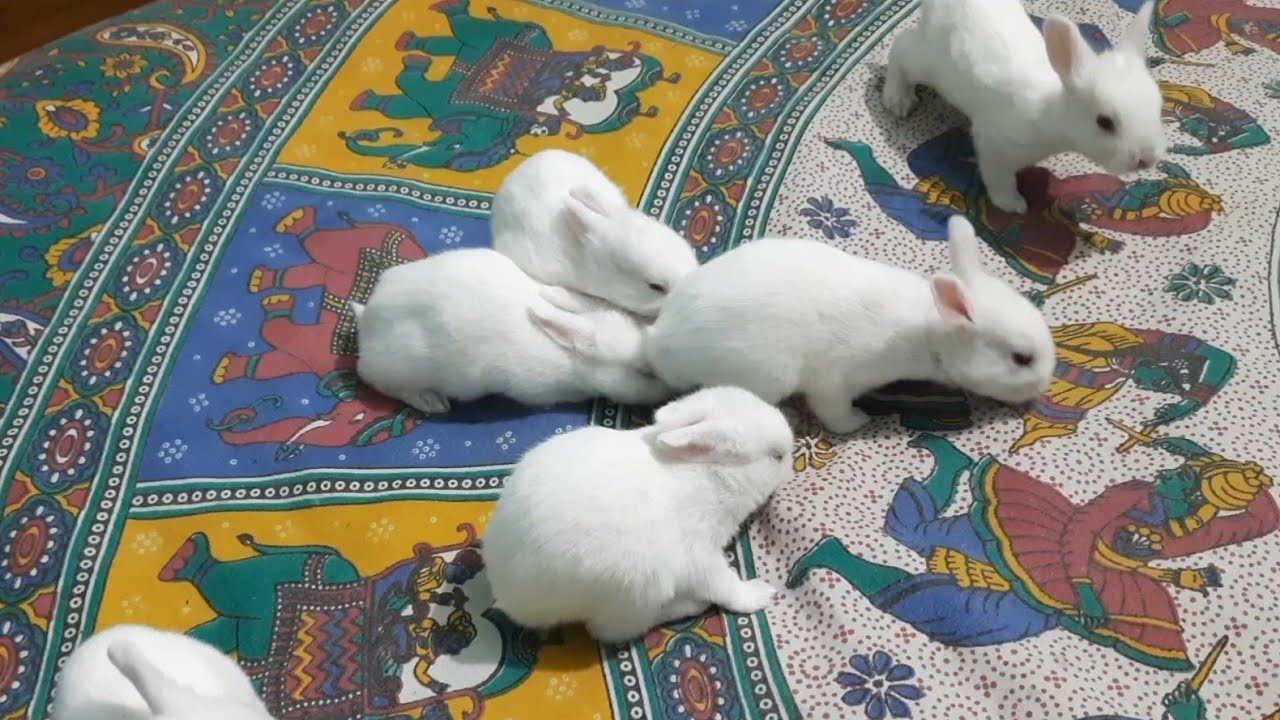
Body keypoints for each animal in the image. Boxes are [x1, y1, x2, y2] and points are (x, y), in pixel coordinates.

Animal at [352, 248, 674, 413]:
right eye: (644, 373)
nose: (672, 393)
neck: (573, 360)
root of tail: (368, 318)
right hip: (401, 366)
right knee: (372, 378)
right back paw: (432, 402)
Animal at [482, 385, 794, 643]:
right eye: (777, 456)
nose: (792, 459)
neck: (714, 476)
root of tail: (509, 596)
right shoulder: (700, 552)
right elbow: (724, 584)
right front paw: (760, 594)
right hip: (638, 590)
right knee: (610, 631)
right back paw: (690, 605)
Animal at [644, 215, 1055, 434]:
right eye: (1022, 358)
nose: (1044, 387)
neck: (929, 331)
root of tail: (659, 342)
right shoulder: (835, 381)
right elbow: (833, 412)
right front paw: (858, 421)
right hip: (765, 375)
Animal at [881, 0, 1165, 214]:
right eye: (1104, 122)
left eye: (1158, 107)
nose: (1146, 159)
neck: (1050, 113)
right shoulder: (994, 144)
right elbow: (998, 178)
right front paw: (1013, 205)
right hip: (930, 64)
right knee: (901, 47)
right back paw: (898, 99)